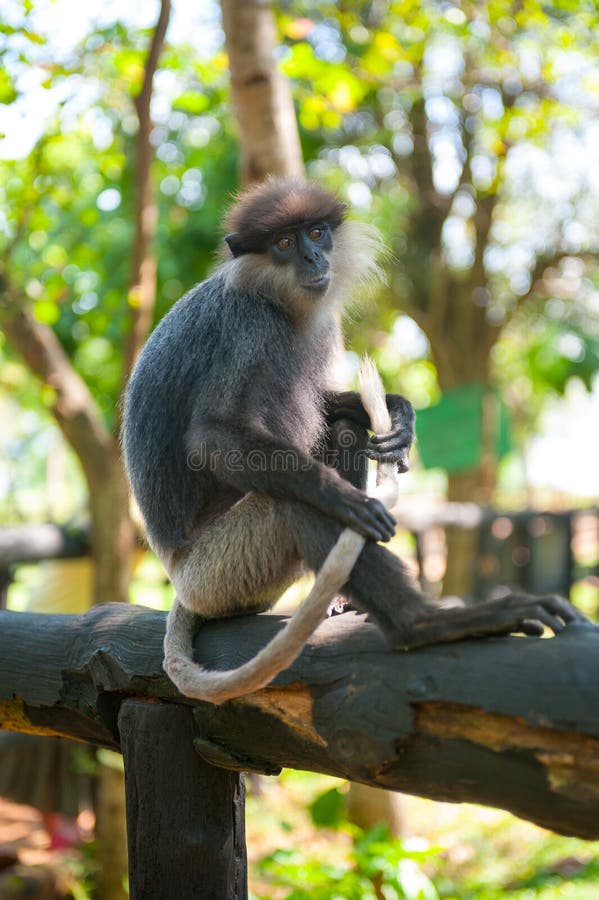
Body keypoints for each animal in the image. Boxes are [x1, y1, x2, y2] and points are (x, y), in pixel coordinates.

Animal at [121, 177, 588, 704]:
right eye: (284, 242)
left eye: (316, 233)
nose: (312, 258)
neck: (278, 303)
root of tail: (180, 583)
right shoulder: (245, 326)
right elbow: (212, 435)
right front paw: (343, 498)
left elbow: (332, 408)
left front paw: (400, 416)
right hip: (216, 573)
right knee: (291, 504)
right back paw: (423, 624)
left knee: (344, 431)